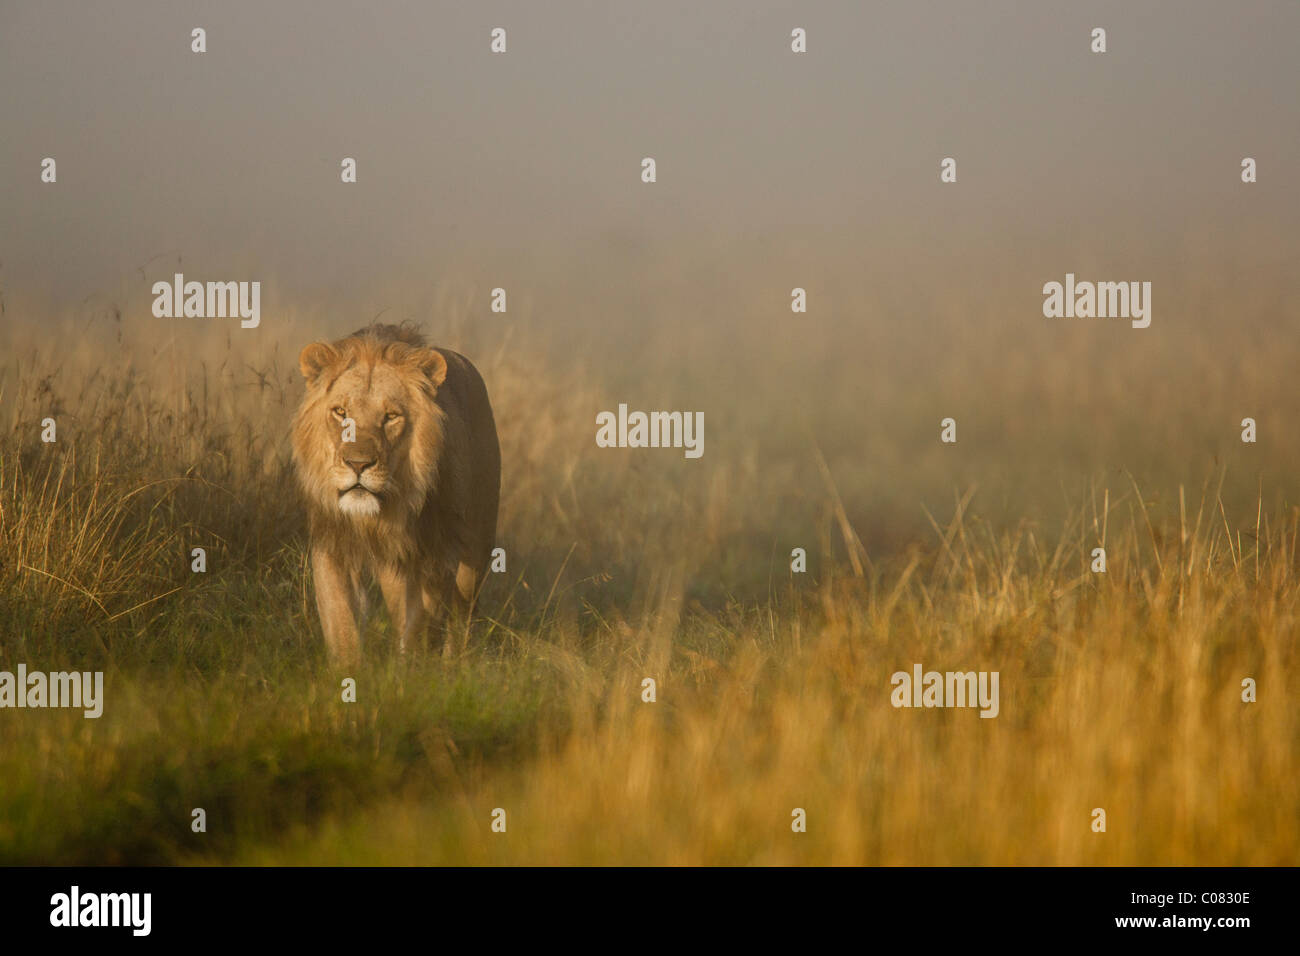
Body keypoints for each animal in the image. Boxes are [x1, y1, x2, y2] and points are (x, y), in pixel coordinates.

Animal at [292, 322, 500, 666]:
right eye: (340, 412)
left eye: (391, 417)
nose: (358, 464)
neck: (381, 513)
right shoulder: (332, 542)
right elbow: (340, 618)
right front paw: (348, 670)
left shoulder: (436, 554)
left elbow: (421, 623)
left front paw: (410, 669)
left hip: (476, 551)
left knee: (462, 618)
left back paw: (454, 665)